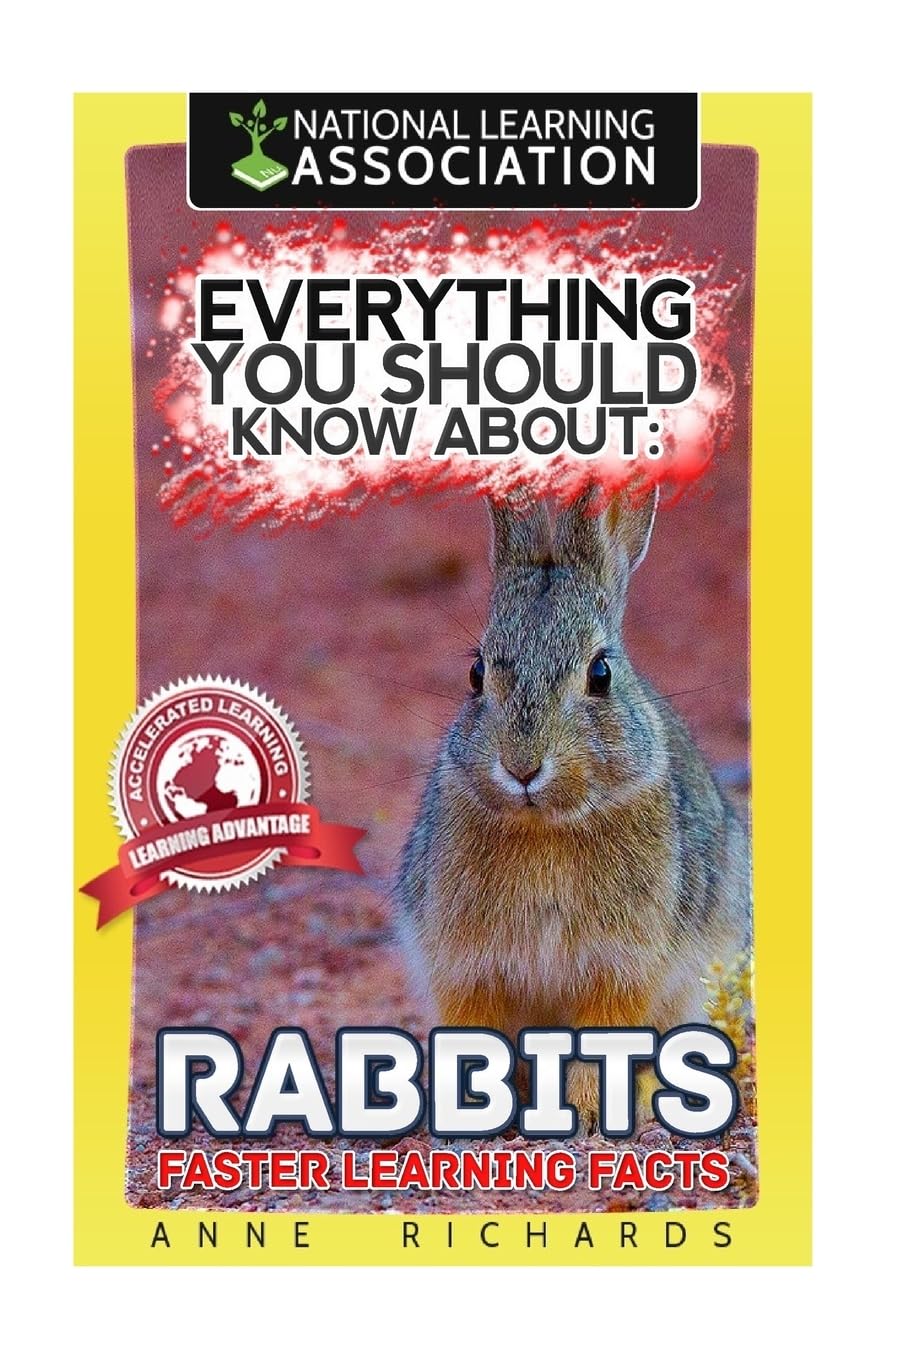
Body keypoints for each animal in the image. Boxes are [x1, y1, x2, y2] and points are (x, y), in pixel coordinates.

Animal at [395, 487, 751, 1133]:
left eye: (601, 673)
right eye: (476, 672)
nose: (522, 766)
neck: (547, 826)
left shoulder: (620, 965)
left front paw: (588, 1115)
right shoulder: (465, 965)